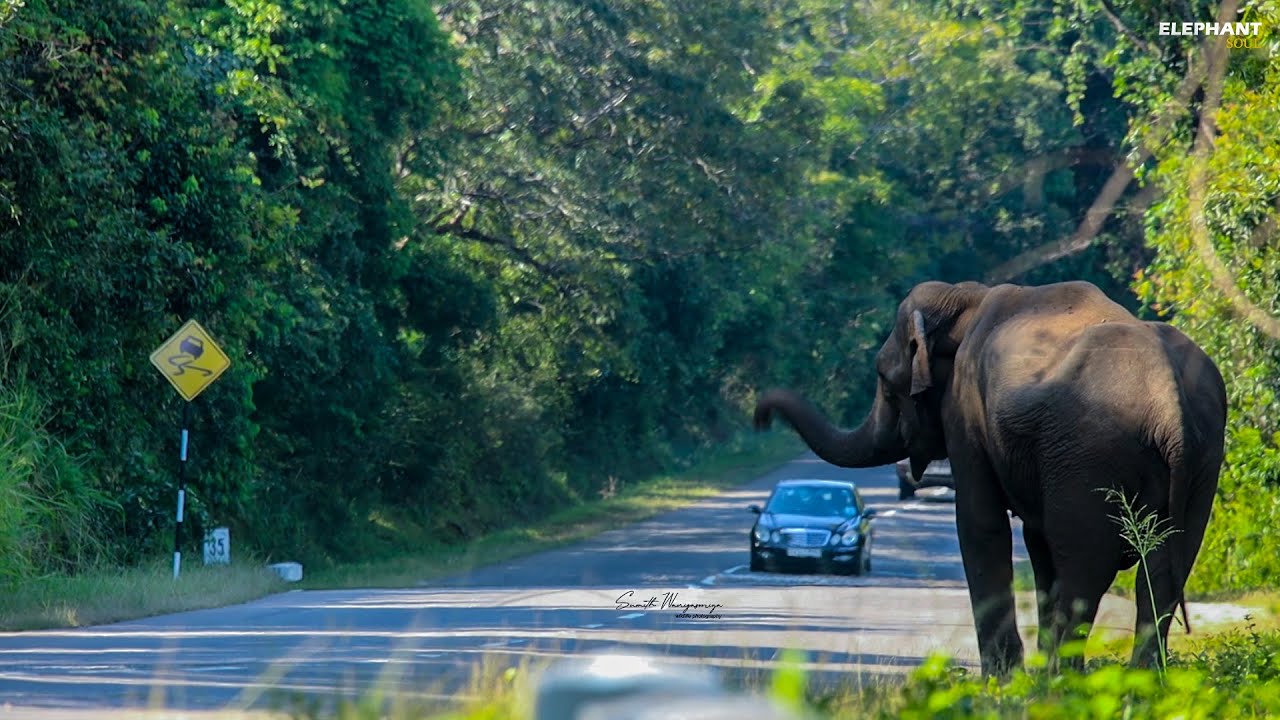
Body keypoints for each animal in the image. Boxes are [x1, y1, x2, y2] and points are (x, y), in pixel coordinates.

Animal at [753, 280, 1226, 676]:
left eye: (885, 380)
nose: (760, 418)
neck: (965, 298)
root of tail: (1166, 400)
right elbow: (1036, 544)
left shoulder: (965, 411)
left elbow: (979, 524)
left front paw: (1001, 681)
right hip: (1201, 459)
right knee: (1165, 569)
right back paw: (1139, 682)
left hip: (1090, 455)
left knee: (1086, 569)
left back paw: (1061, 683)